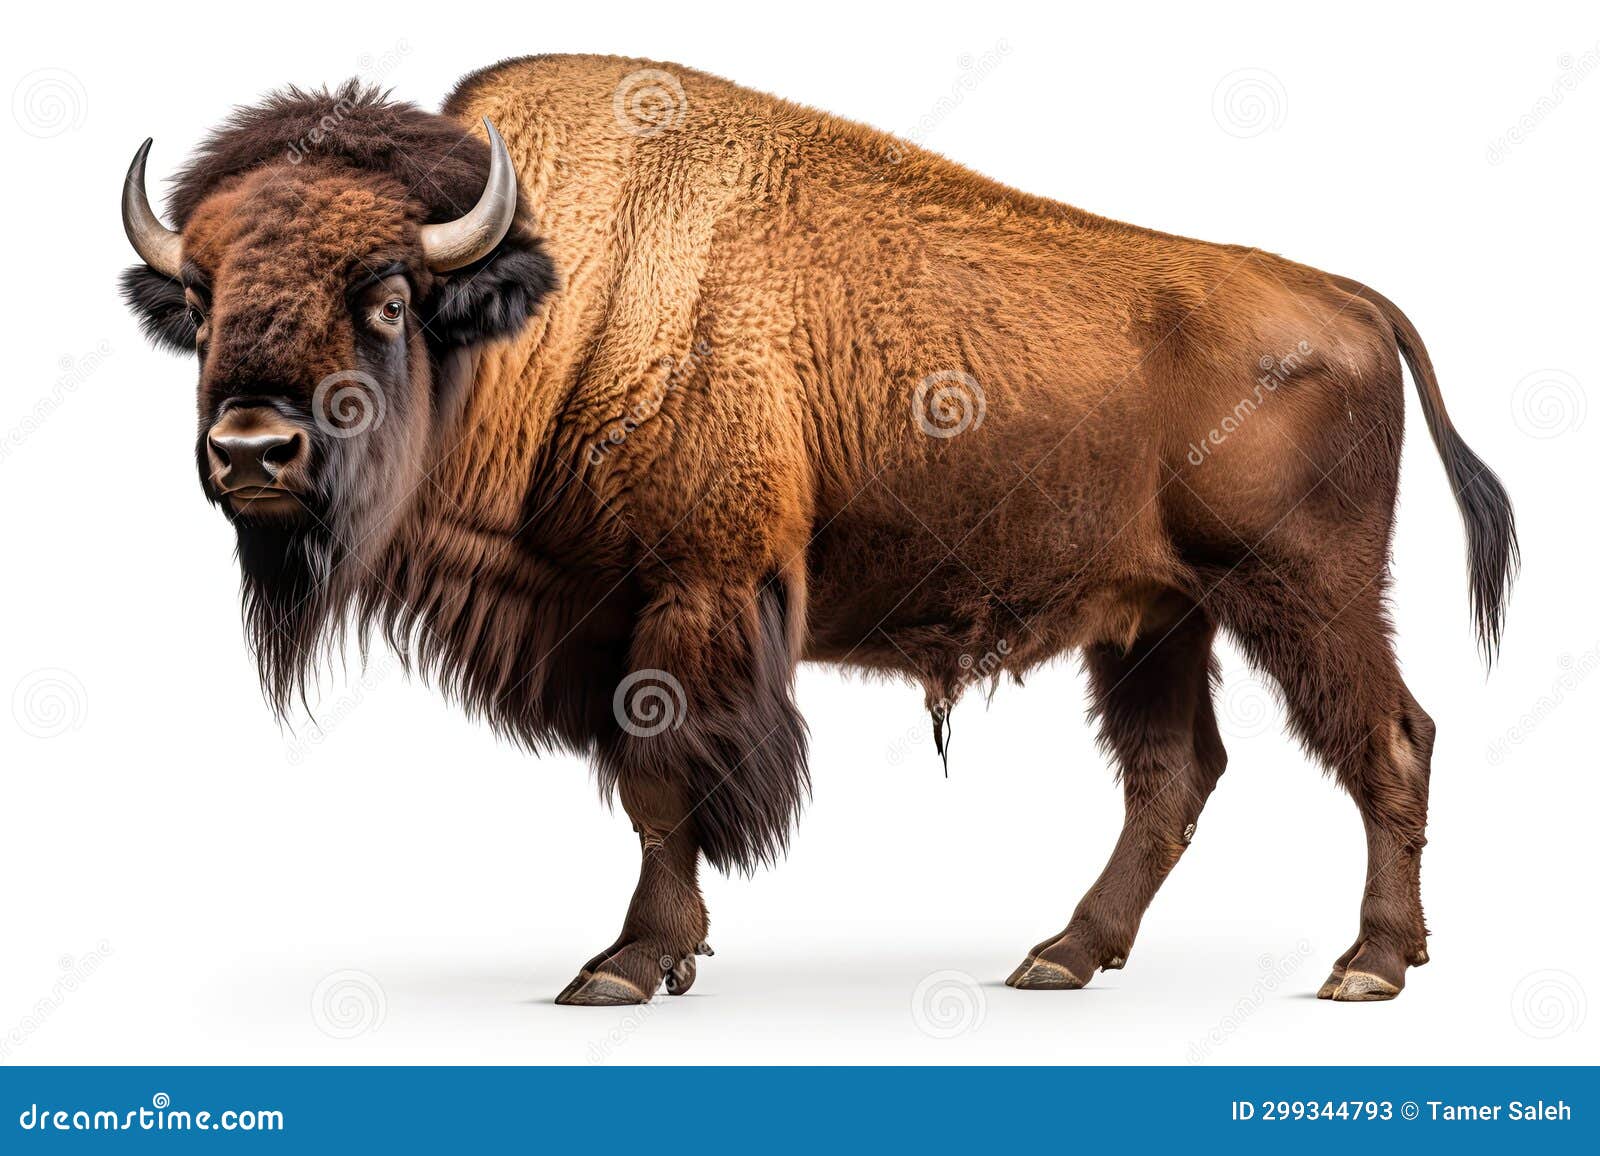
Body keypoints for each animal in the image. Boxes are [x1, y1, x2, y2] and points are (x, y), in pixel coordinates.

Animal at [120, 54, 1515, 1004]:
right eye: (204, 295)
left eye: (391, 295)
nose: (252, 450)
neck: (550, 301)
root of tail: (1348, 297)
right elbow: (650, 789)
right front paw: (659, 953)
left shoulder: (691, 597)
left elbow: (661, 782)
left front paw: (625, 965)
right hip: (1156, 620)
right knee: (1173, 776)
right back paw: (1065, 955)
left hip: (1300, 592)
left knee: (1387, 738)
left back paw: (1366, 965)